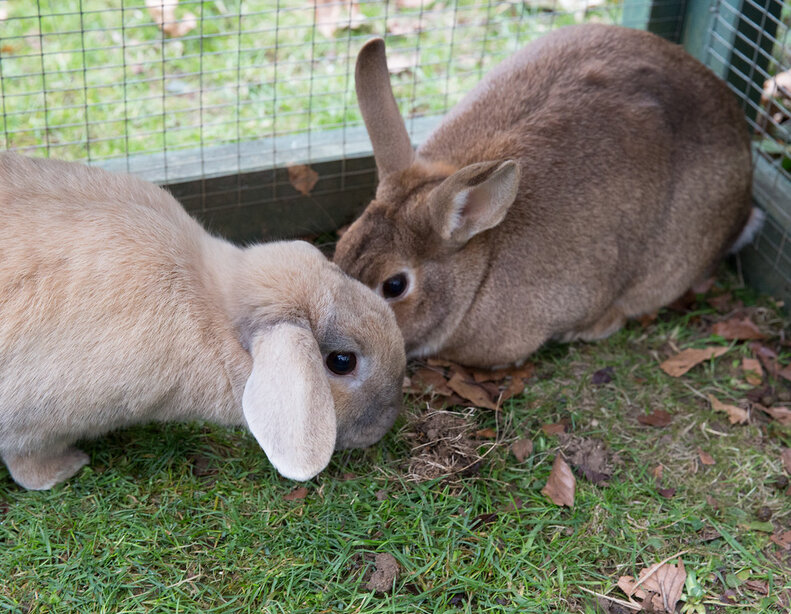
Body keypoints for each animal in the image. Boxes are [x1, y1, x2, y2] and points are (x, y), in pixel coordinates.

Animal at [0, 152, 406, 490]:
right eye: (342, 361)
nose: (384, 425)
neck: (214, 314)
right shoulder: (34, 427)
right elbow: (28, 465)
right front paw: (66, 469)